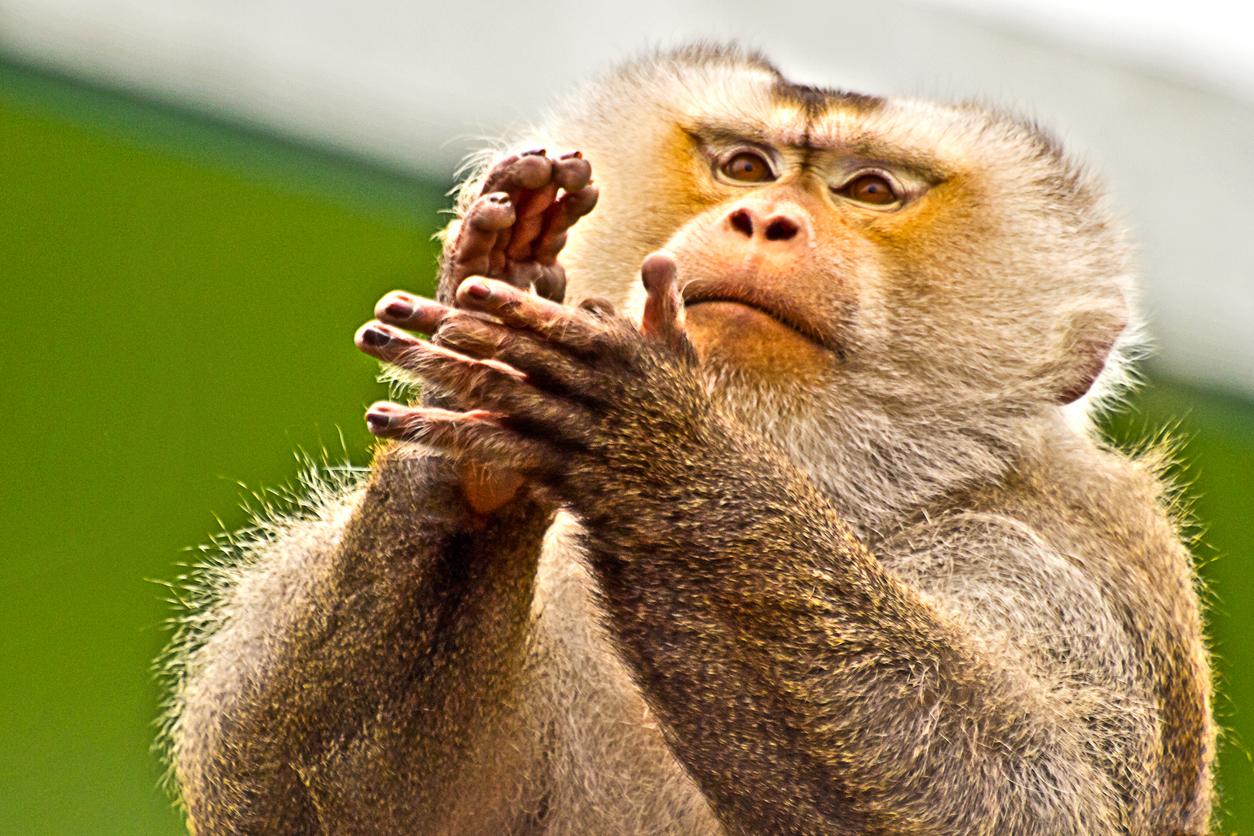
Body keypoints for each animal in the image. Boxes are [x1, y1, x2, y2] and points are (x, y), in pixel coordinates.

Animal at [161, 44, 1215, 834]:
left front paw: (657, 447)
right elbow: (334, 807)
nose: (763, 218)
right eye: (746, 166)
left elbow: (1032, 798)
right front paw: (467, 435)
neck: (846, 488)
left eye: (872, 188)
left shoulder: (1048, 567)